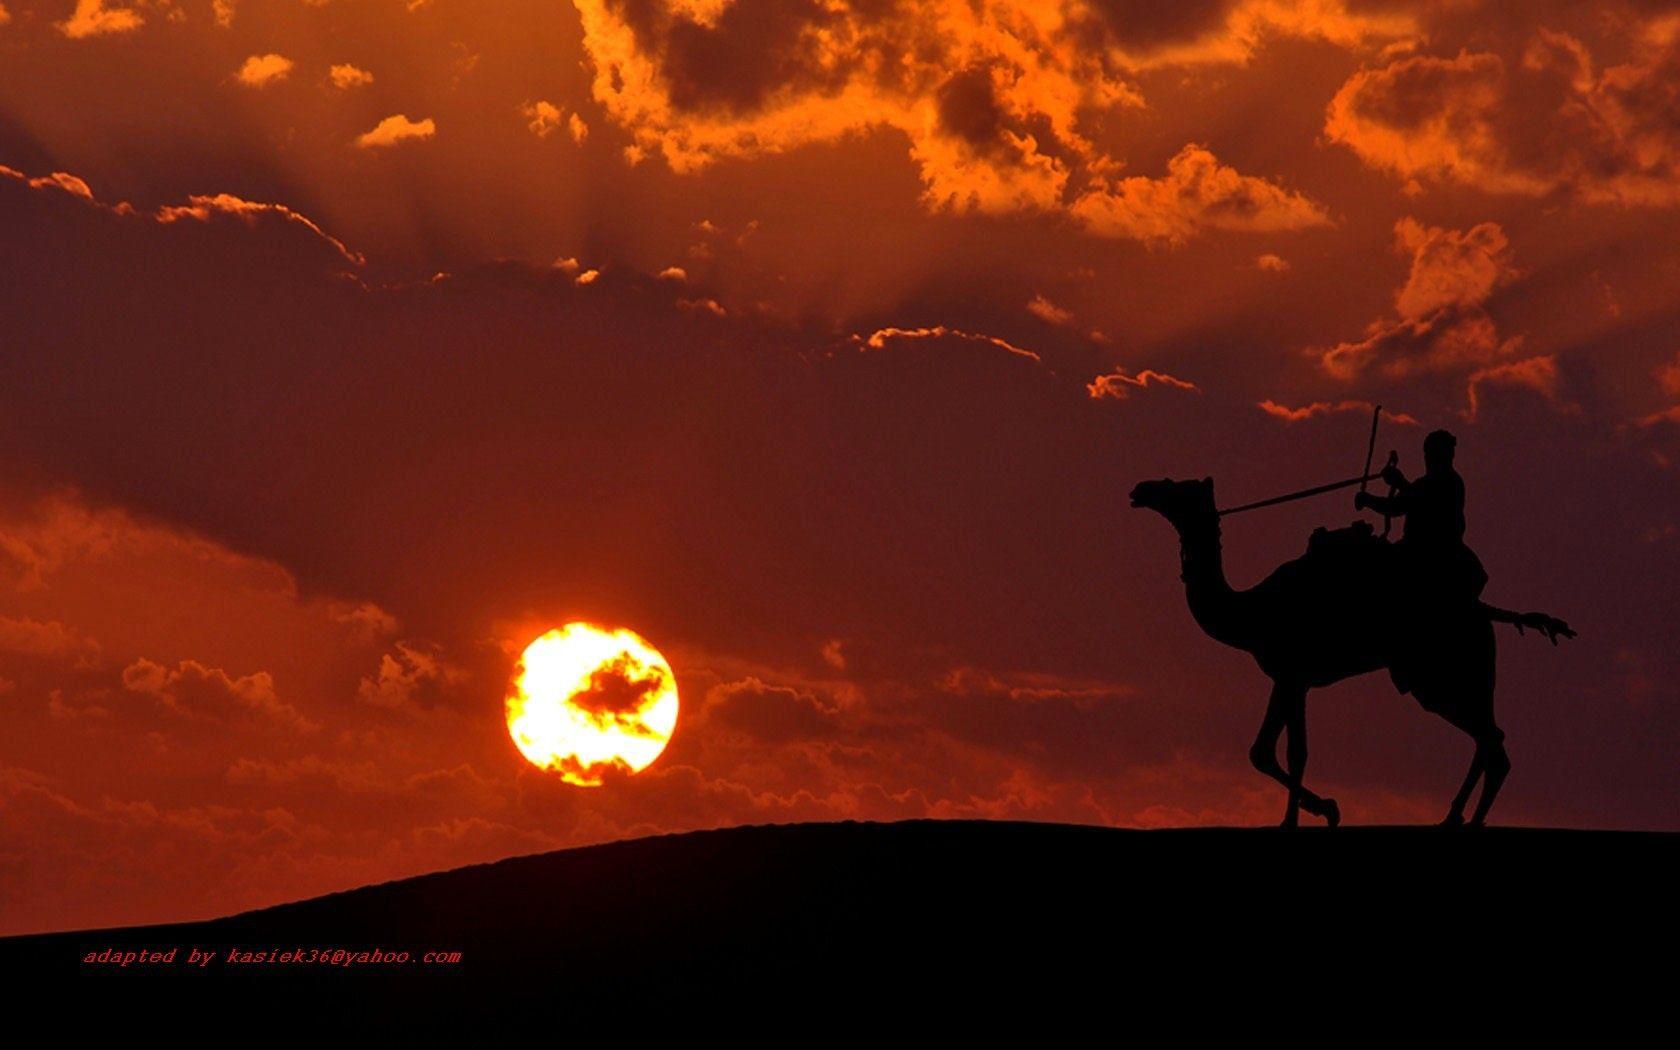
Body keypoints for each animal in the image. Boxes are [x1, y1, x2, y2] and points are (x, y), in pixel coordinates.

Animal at [1130, 476, 1574, 829]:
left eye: (1177, 487)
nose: (1140, 489)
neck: (1252, 609)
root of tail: (1485, 610)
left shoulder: (1293, 672)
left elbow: (1286, 751)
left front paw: (1309, 815)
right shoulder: (1290, 677)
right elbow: (1272, 750)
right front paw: (1317, 811)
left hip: (1440, 676)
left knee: (1491, 737)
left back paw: (1460, 819)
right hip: (1453, 677)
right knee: (1493, 740)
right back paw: (1461, 819)